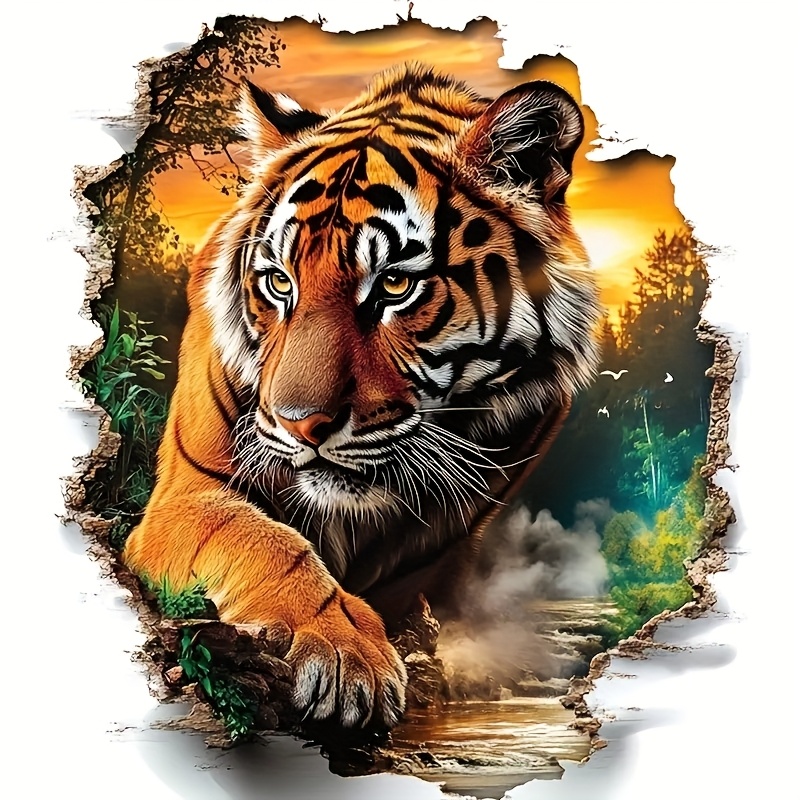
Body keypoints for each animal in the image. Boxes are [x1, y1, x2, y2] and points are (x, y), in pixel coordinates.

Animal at [122, 63, 601, 730]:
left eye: (395, 284)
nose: (299, 425)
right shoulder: (183, 499)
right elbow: (266, 541)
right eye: (279, 282)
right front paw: (345, 649)